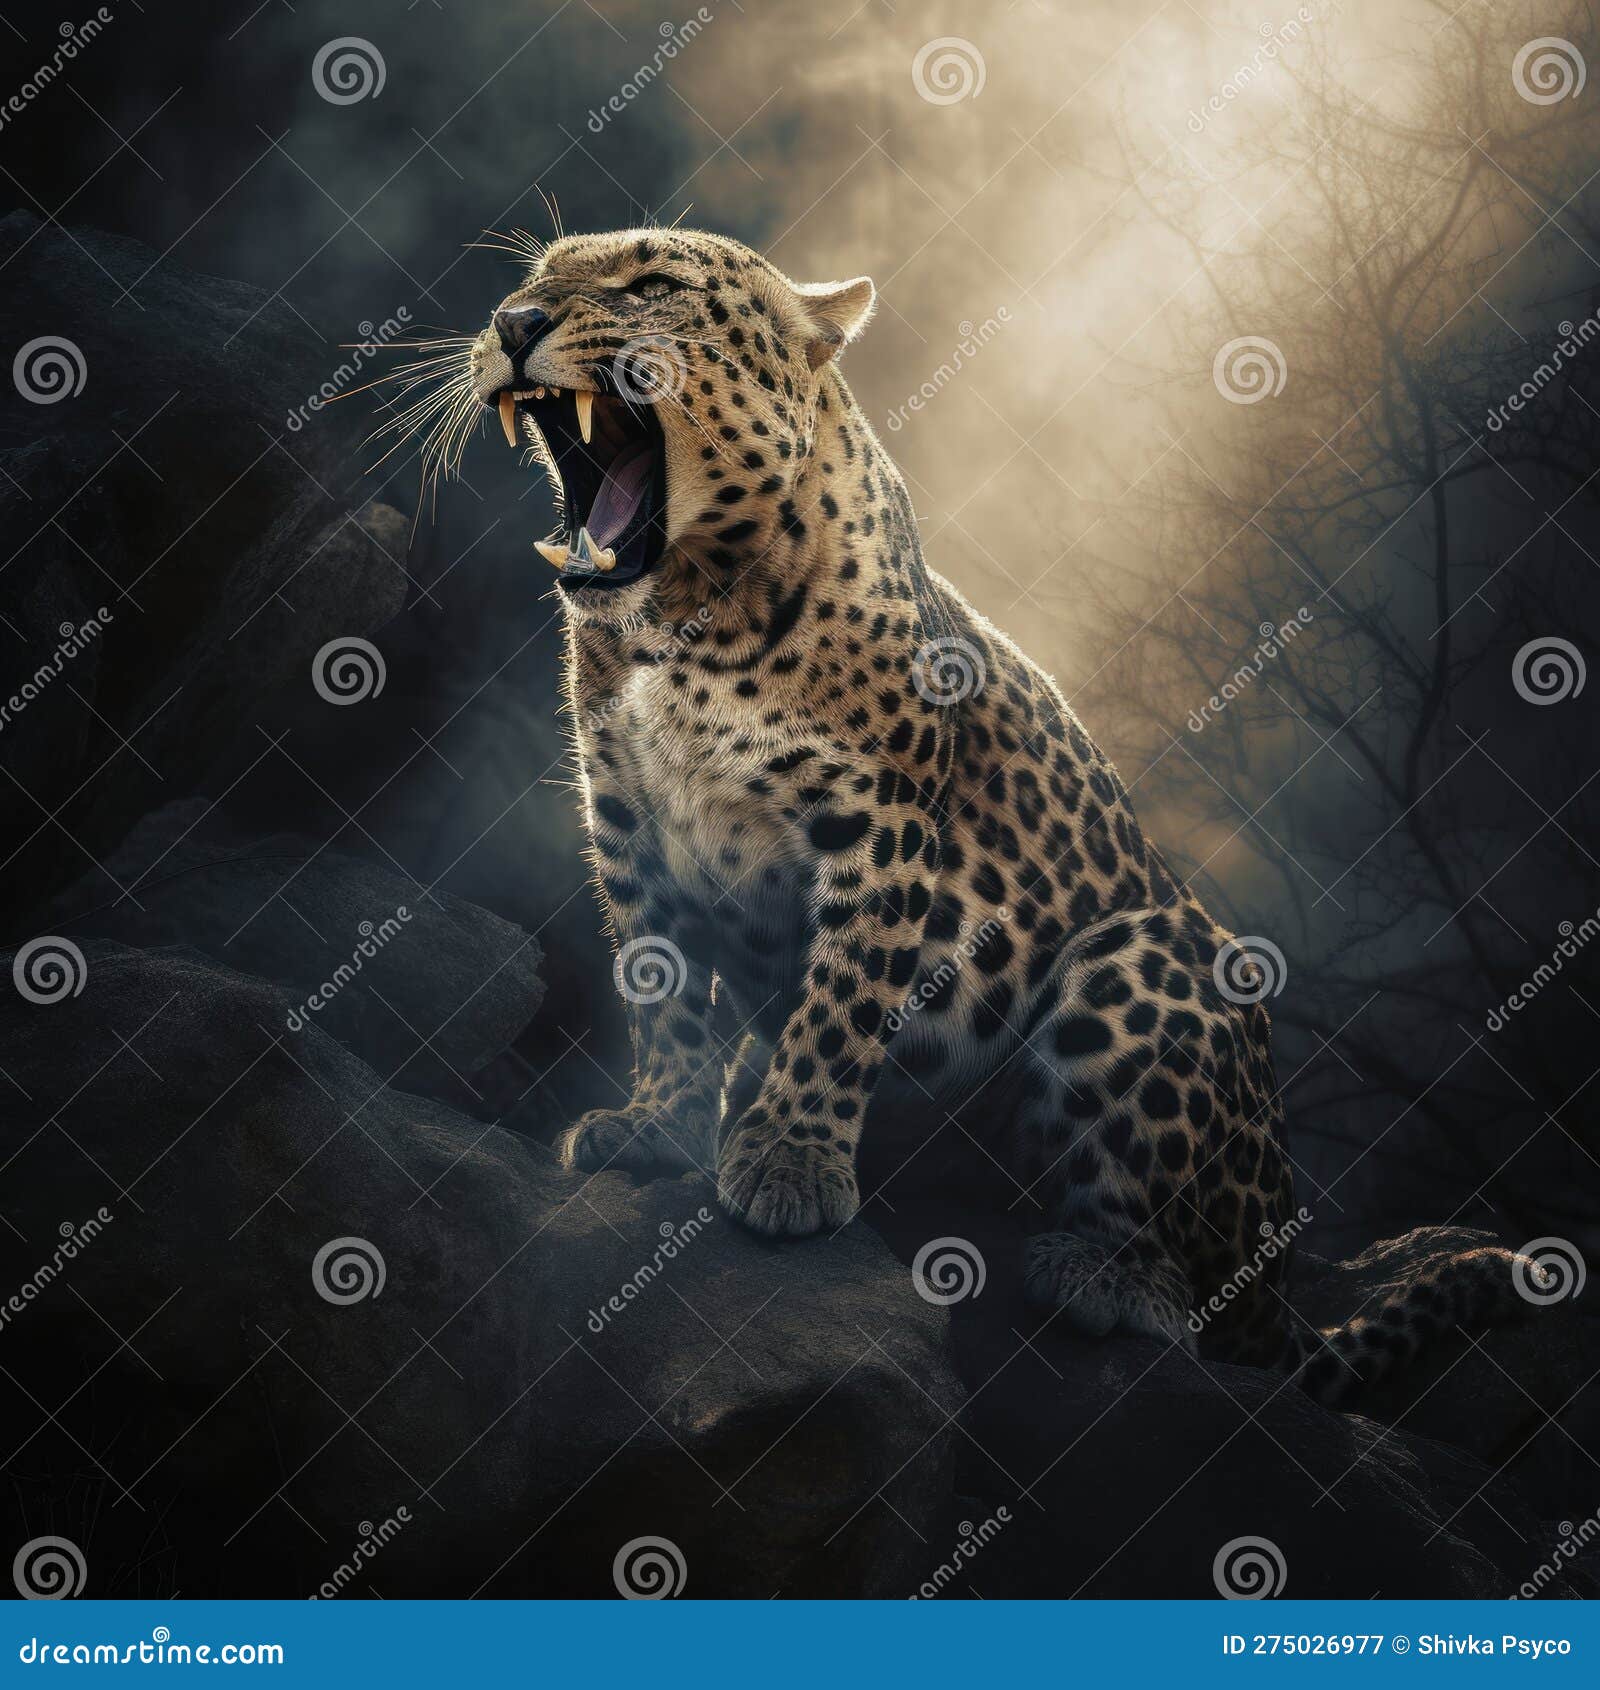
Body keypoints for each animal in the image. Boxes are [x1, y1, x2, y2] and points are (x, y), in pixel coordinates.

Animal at [465, 226, 1542, 1407]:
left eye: (651, 284)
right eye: (536, 276)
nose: (513, 322)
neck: (681, 615)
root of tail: (1286, 1280)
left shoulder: (876, 824)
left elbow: (840, 1006)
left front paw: (790, 1167)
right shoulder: (629, 827)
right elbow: (657, 989)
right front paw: (656, 1126)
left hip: (1149, 964)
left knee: (1189, 1288)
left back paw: (1098, 1273)